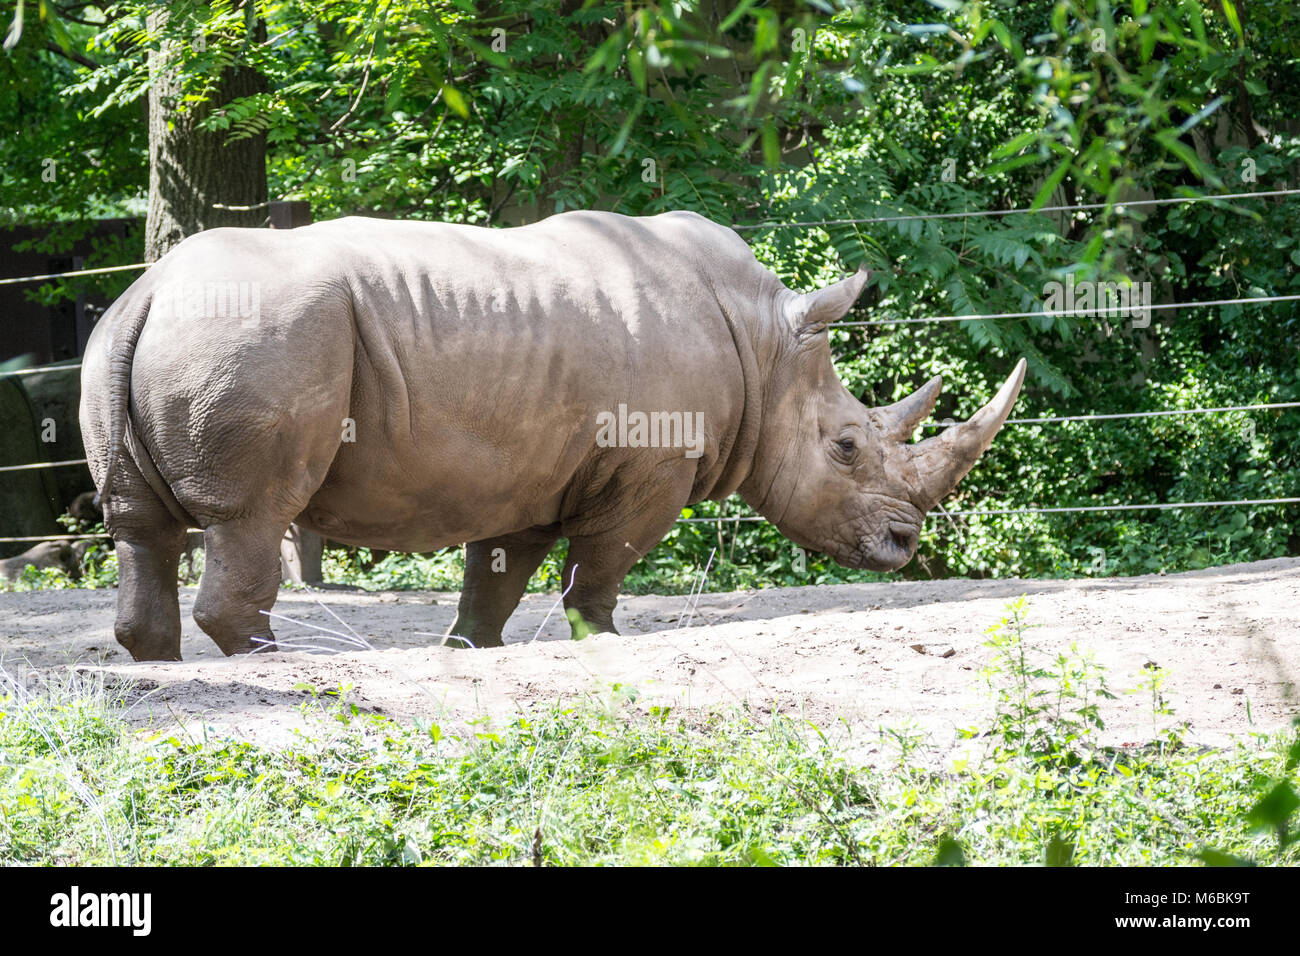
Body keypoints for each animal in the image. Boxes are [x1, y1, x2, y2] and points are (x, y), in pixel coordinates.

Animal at [80, 210, 1025, 661]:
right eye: (847, 448)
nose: (904, 545)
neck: (764, 348)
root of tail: (150, 289)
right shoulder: (649, 468)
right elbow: (600, 567)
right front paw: (604, 643)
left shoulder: (523, 469)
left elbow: (495, 576)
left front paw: (471, 650)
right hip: (259, 336)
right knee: (253, 515)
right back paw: (272, 660)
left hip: (137, 339)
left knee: (139, 525)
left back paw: (159, 661)